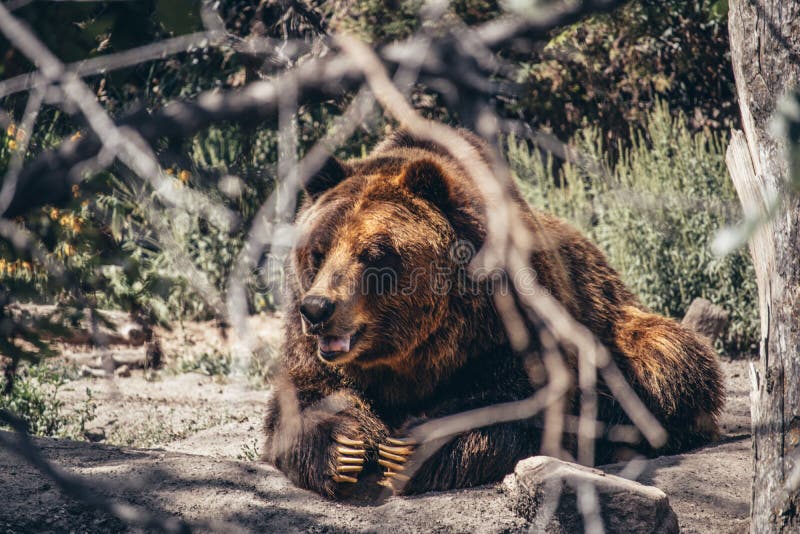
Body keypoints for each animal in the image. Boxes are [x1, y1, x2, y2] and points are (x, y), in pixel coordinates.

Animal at [262, 127, 724, 498]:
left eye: (373, 255)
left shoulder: (510, 317)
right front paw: (345, 448)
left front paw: (409, 449)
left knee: (668, 358)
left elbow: (521, 399)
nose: (317, 308)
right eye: (318, 251)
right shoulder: (313, 349)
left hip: (615, 320)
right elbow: (304, 395)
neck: (418, 348)